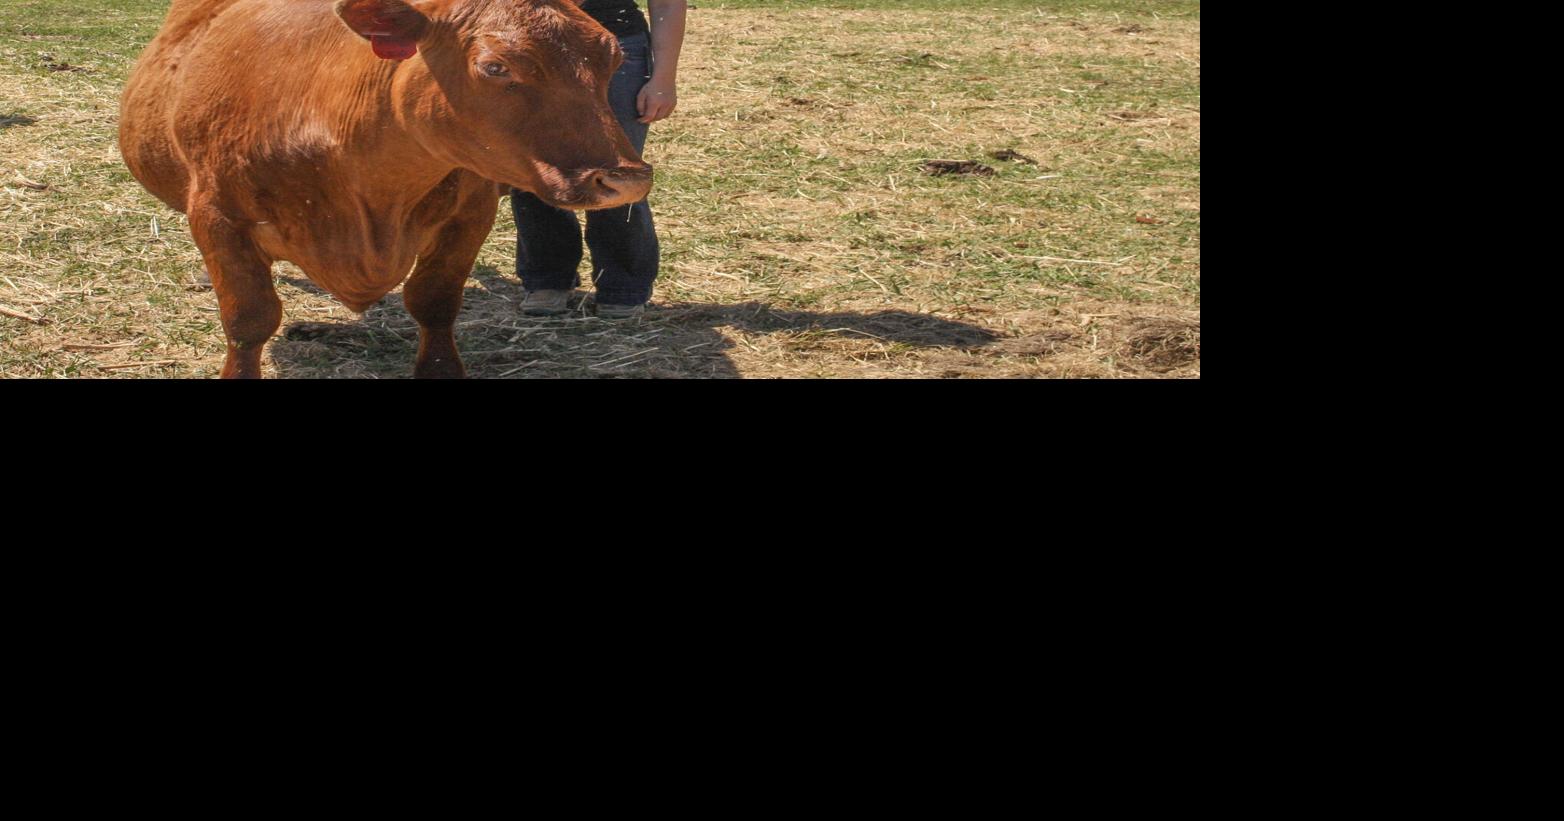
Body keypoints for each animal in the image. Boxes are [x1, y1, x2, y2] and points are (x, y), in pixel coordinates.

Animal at [119, 0, 653, 378]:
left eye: (613, 56)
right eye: (496, 66)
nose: (625, 177)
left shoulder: (470, 213)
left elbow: (435, 301)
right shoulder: (218, 216)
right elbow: (249, 319)